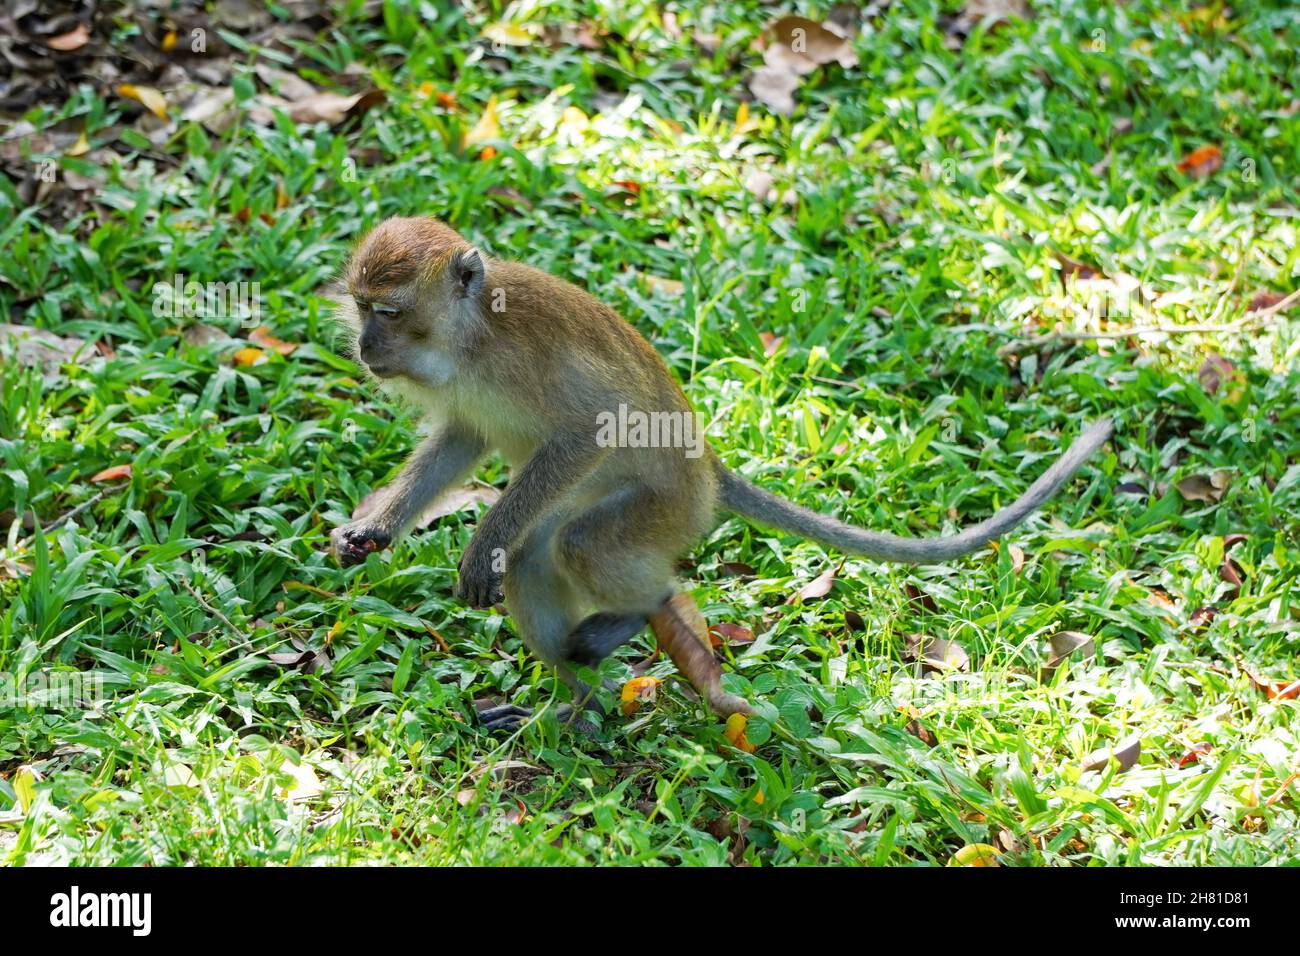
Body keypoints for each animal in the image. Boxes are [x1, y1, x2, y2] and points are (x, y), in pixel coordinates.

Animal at [329, 216, 1114, 733]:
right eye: (363, 310)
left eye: (390, 311)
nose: (366, 346)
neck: (468, 339)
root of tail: (707, 466)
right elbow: (460, 441)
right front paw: (376, 528)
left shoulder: (526, 362)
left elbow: (587, 431)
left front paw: (482, 541)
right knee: (541, 556)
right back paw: (576, 701)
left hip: (666, 504)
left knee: (585, 544)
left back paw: (632, 614)